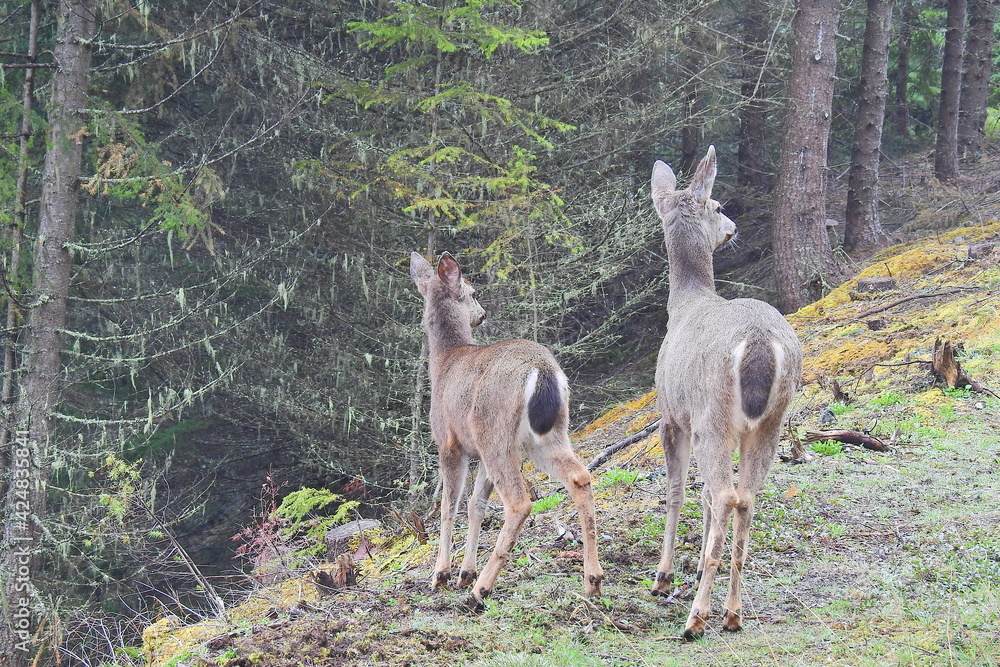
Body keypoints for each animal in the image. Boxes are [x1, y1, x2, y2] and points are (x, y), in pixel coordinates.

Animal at [409, 251, 603, 610]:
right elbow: (476, 505)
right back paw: (592, 580)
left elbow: (449, 506)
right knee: (580, 476)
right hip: (546, 435)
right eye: (473, 292)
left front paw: (442, 574)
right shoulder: (476, 451)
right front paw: (464, 572)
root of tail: (542, 370)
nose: (482, 315)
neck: (444, 363)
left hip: (495, 433)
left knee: (519, 502)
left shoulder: (449, 442)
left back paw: (480, 590)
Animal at [648, 146, 802, 640]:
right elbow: (698, 495)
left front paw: (664, 575)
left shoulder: (672, 416)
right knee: (745, 497)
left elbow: (678, 491)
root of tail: (759, 342)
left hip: (712, 416)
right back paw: (731, 613)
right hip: (770, 420)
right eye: (719, 207)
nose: (733, 227)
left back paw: (697, 616)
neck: (685, 303)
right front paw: (696, 566)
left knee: (724, 496)